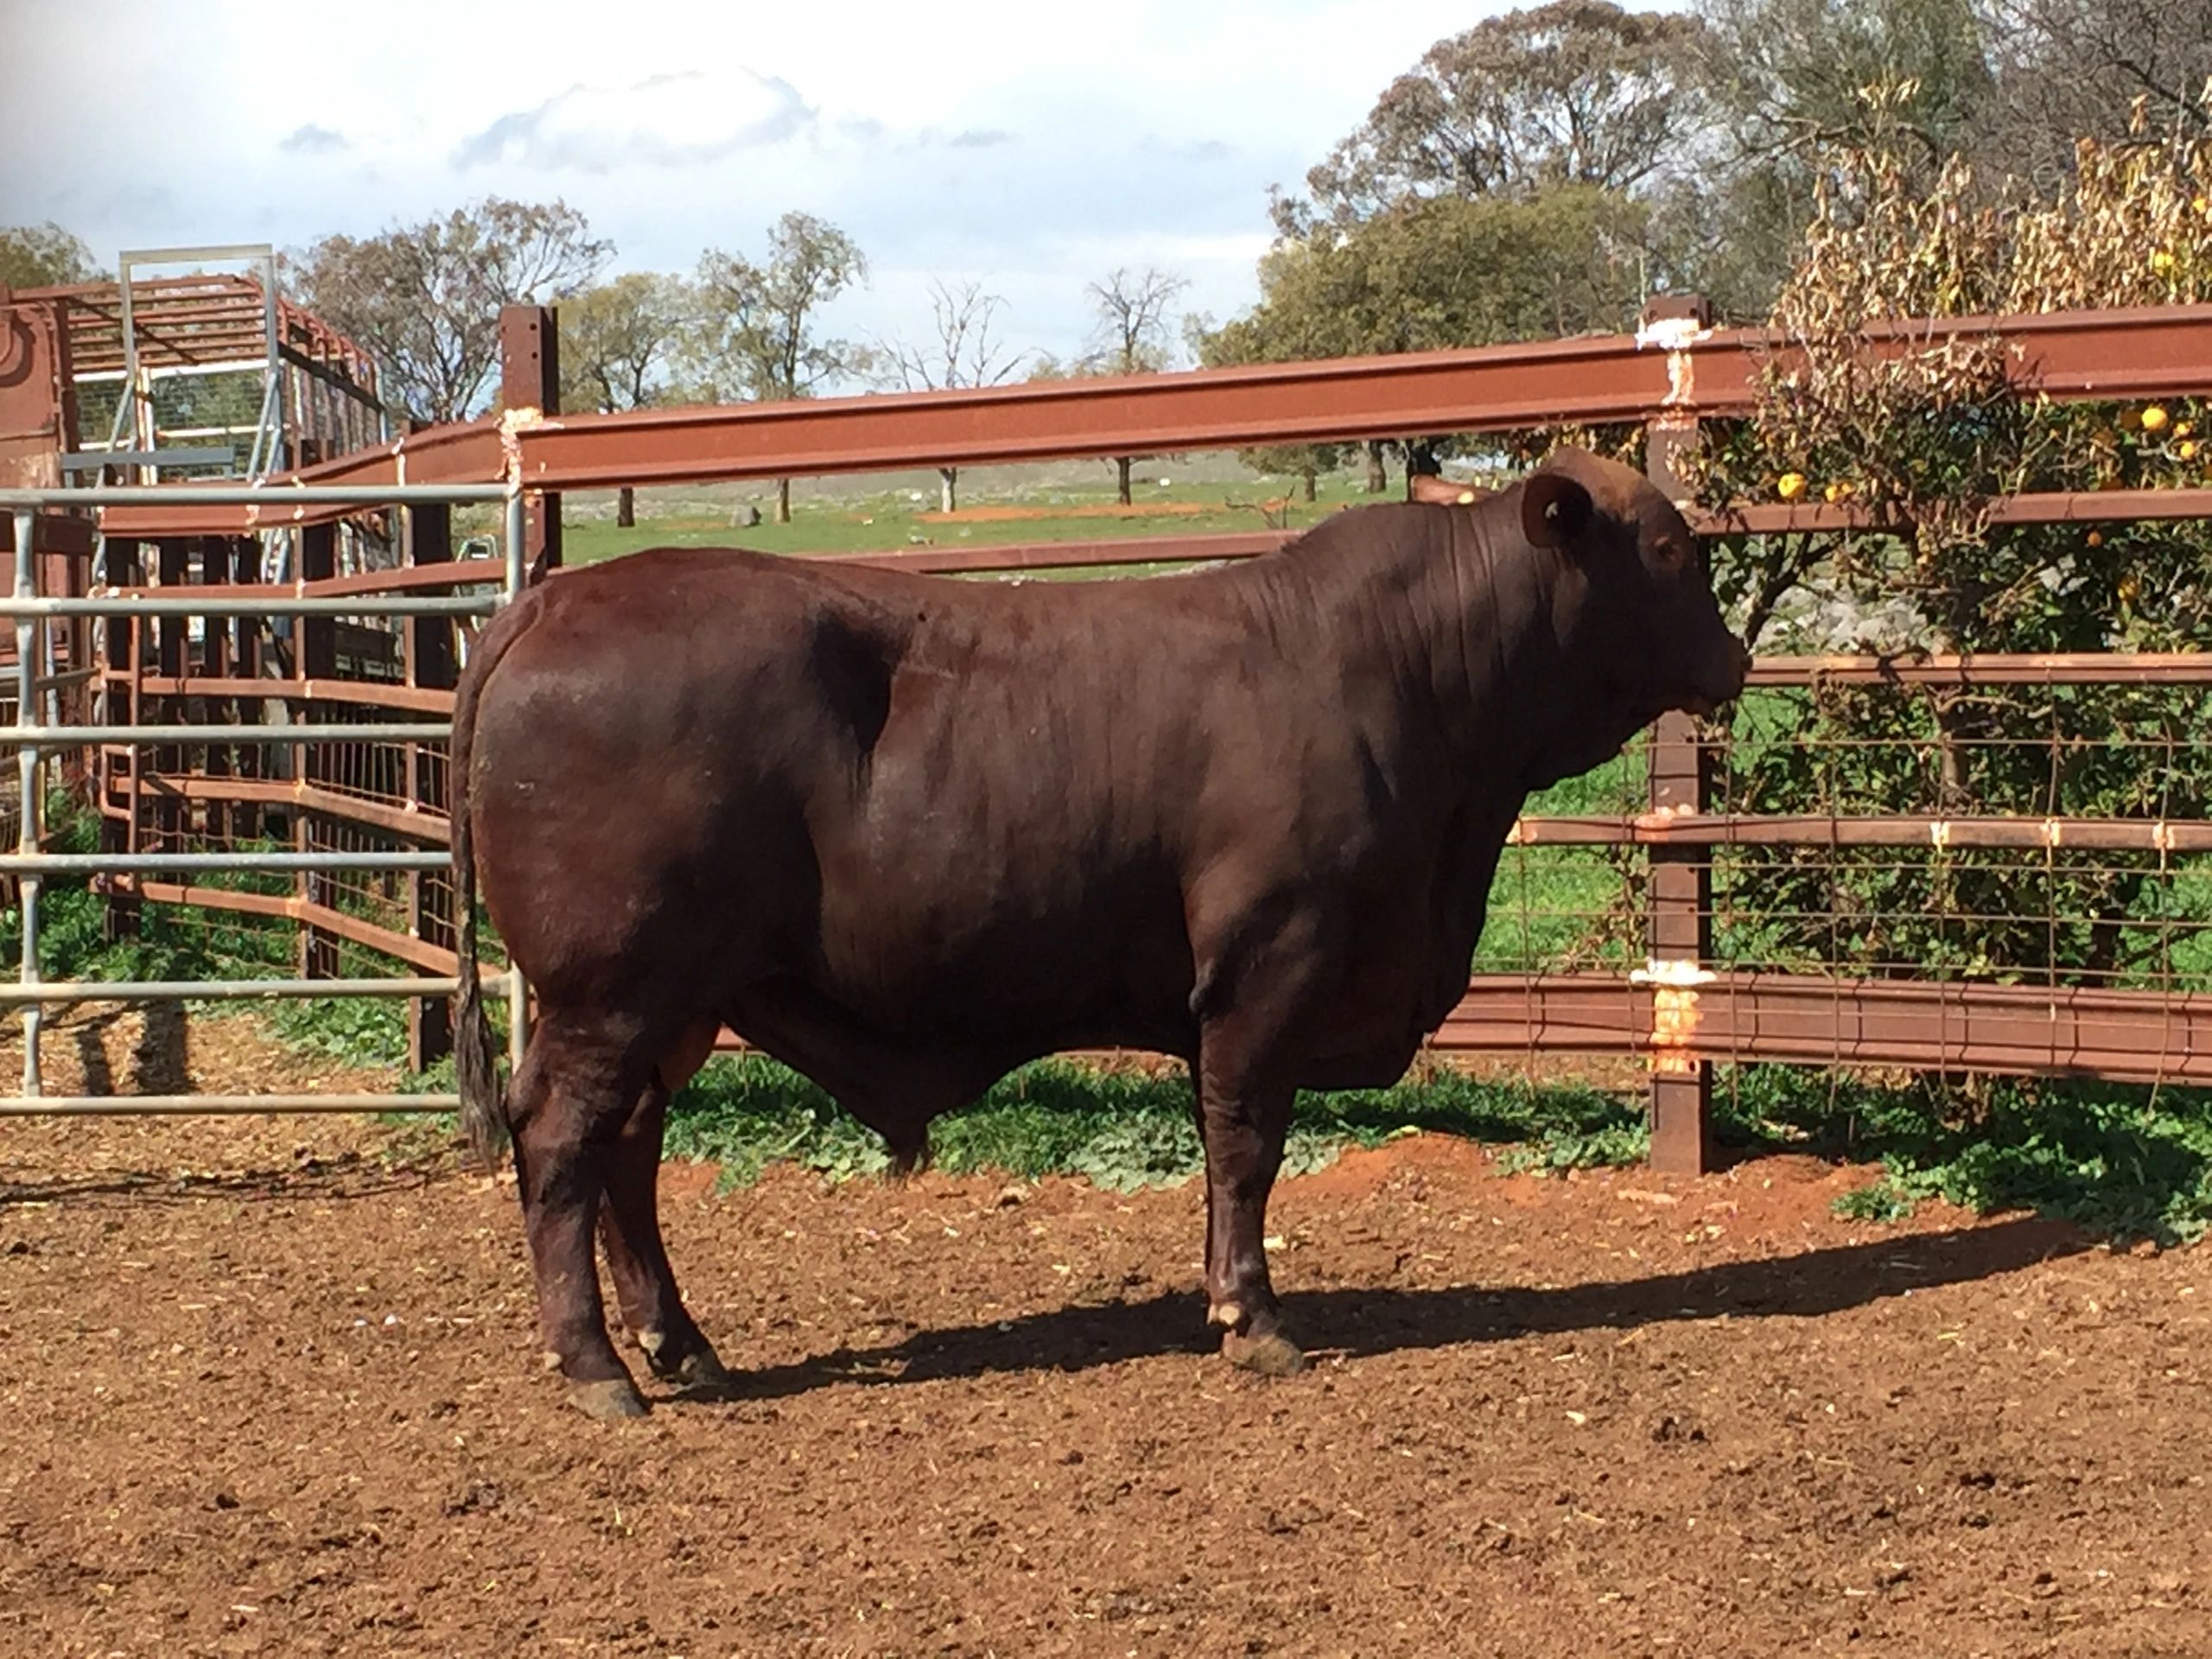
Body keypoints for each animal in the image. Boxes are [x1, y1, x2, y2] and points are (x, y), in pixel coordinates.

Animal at [447, 446, 1749, 1419]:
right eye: (1669, 551)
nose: (1735, 656)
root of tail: (552, 599)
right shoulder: (1267, 968)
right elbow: (1246, 1147)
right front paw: (1250, 1315)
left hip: (675, 998)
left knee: (628, 1151)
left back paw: (681, 1345)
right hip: (611, 990)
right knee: (561, 1142)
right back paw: (598, 1367)